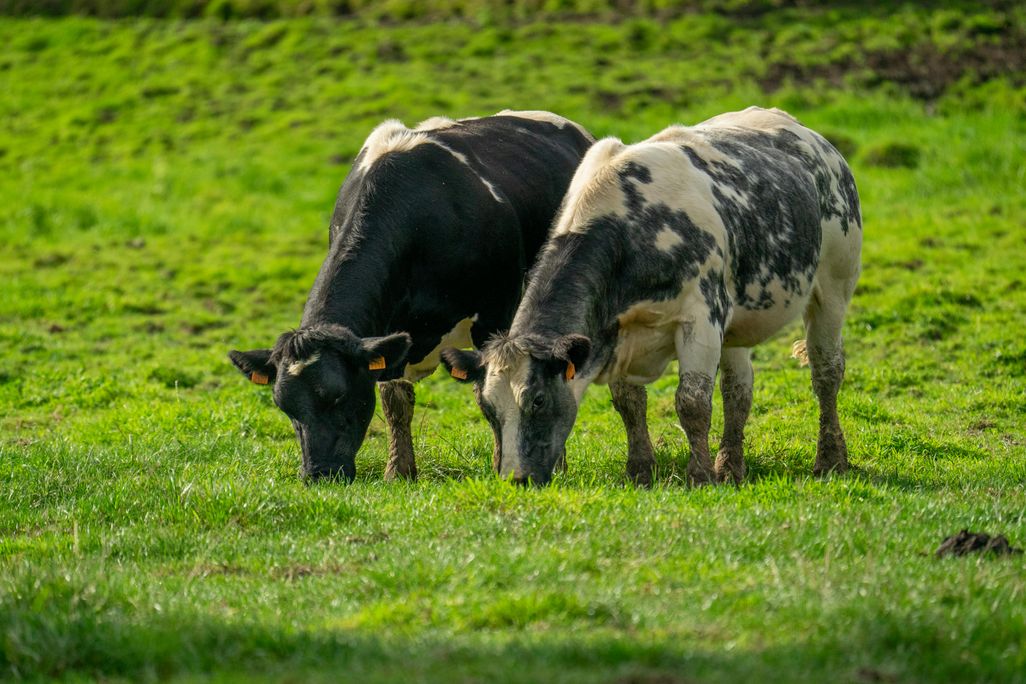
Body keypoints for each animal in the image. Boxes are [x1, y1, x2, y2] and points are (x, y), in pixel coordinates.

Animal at [229, 111, 594, 481]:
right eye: (284, 405)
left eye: (337, 395)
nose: (318, 474)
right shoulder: (391, 327)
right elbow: (396, 401)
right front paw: (399, 471)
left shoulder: (495, 315)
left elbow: (492, 392)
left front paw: (500, 464)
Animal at [442, 107, 862, 486]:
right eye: (487, 408)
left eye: (538, 399)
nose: (516, 478)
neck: (637, 229)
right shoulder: (618, 333)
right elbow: (629, 402)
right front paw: (640, 471)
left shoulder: (702, 316)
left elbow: (692, 401)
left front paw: (700, 476)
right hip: (737, 321)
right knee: (737, 389)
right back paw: (731, 466)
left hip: (834, 287)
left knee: (826, 371)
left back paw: (830, 460)